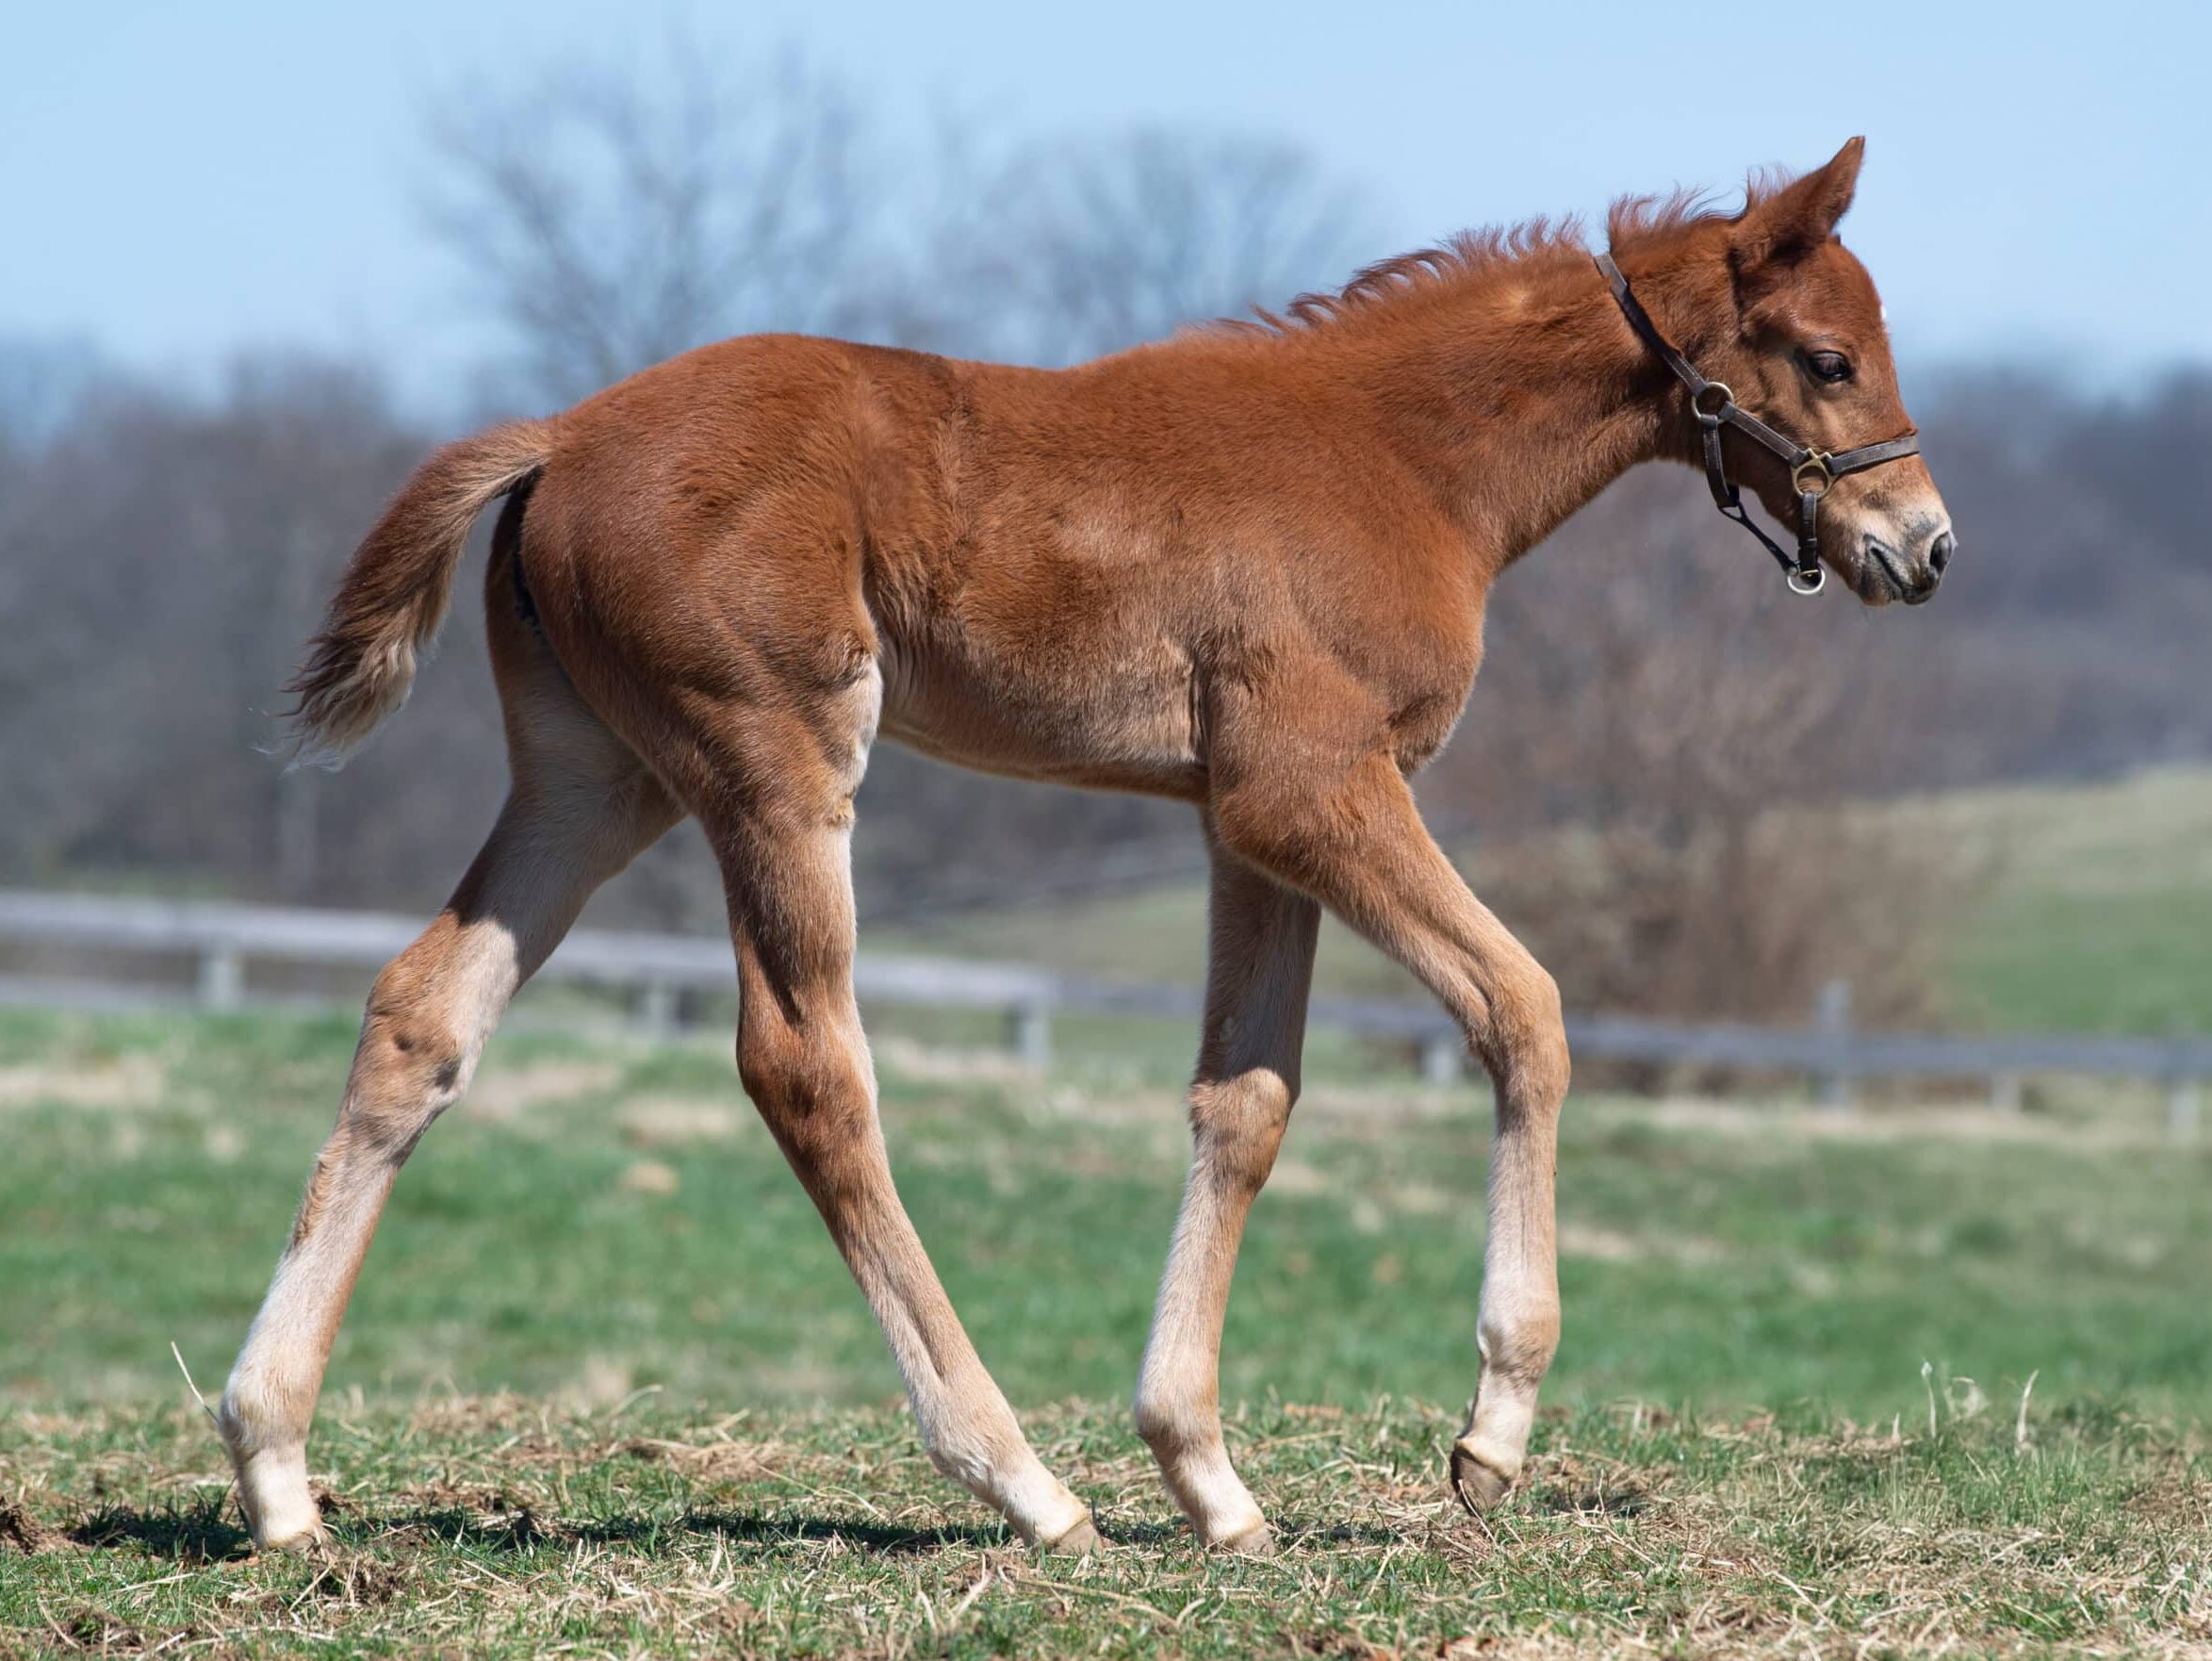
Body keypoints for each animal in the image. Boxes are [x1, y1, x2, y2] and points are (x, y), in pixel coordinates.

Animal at [217, 137, 1952, 1555]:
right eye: (1823, 356)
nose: (1922, 548)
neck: (1400, 456)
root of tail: (561, 433)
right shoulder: (1316, 789)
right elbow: (1519, 1008)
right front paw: (1489, 1437)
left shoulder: (1241, 821)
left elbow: (1244, 1099)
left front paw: (1209, 1477)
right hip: (772, 760)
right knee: (806, 1068)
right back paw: (1023, 1486)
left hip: (591, 776)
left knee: (422, 1013)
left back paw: (274, 1470)